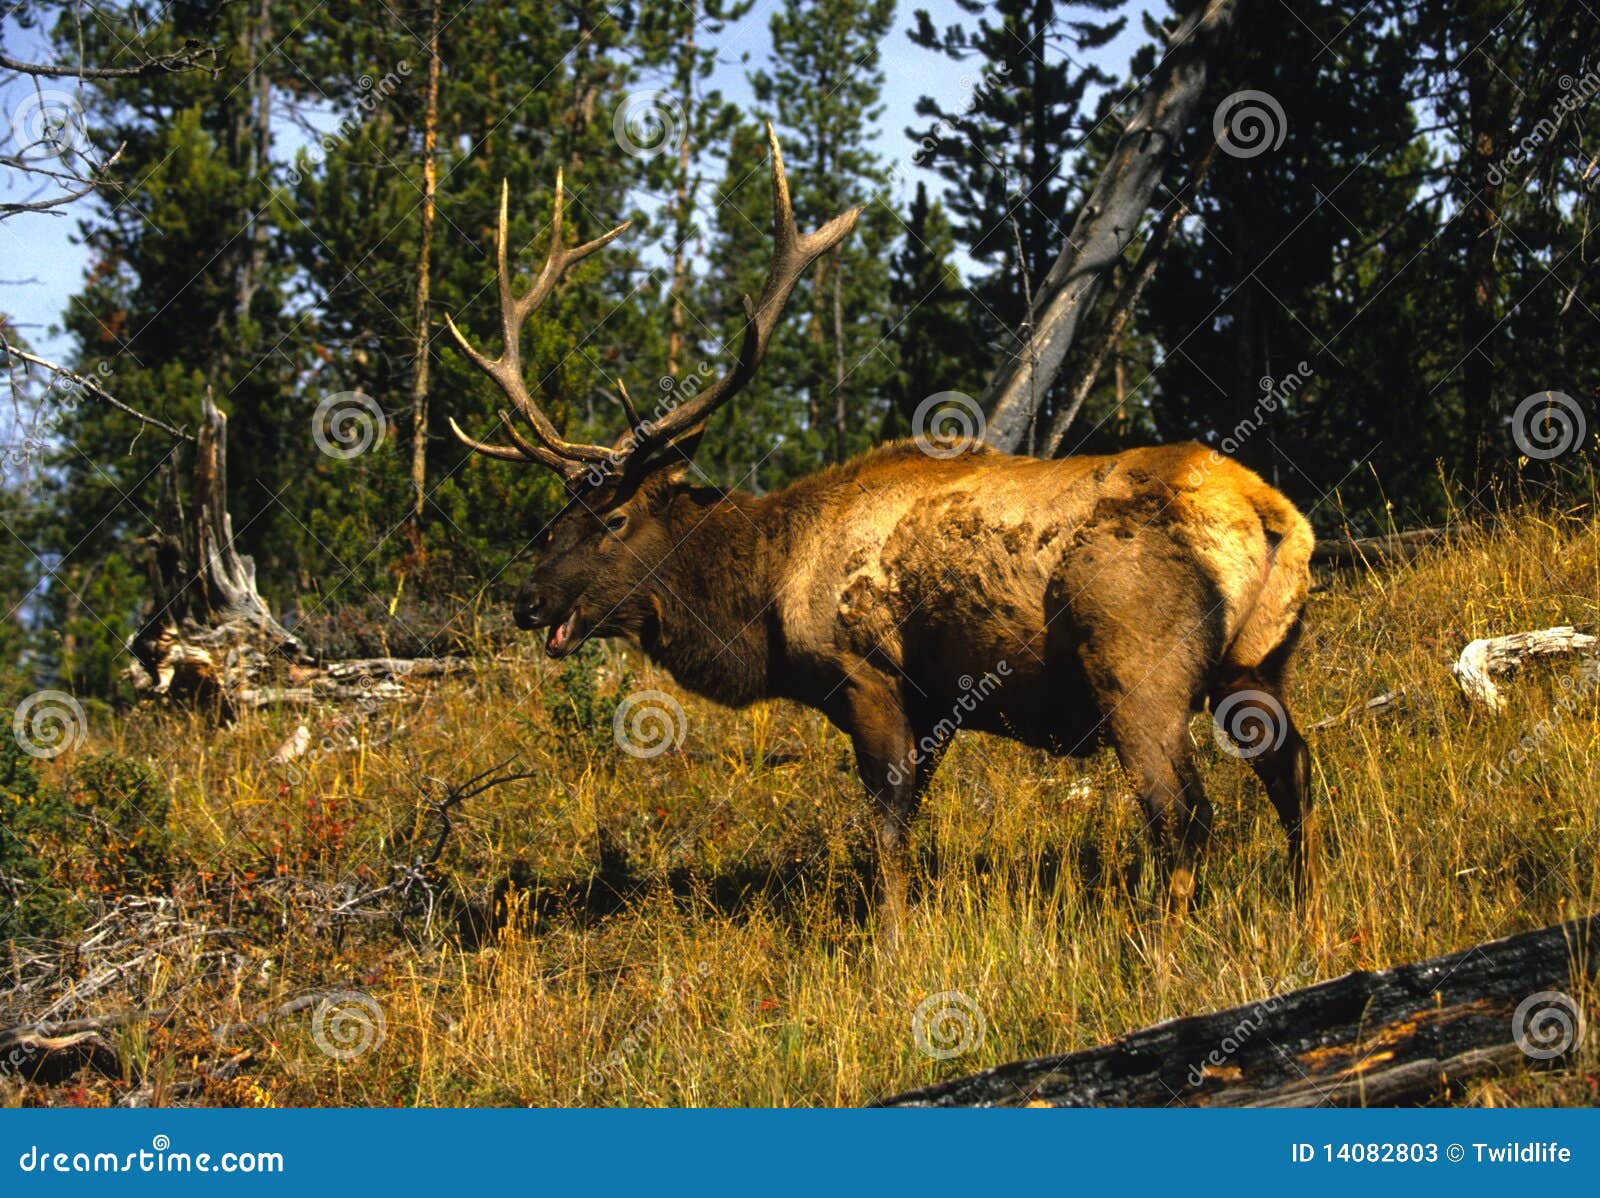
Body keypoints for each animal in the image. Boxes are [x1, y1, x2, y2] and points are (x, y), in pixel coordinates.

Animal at [444, 127, 1316, 925]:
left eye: (615, 515)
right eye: (559, 514)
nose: (527, 601)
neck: (765, 596)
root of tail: (1270, 515)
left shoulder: (868, 673)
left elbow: (887, 827)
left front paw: (889, 943)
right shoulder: (933, 705)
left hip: (1139, 668)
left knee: (1182, 813)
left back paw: (1163, 949)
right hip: (1257, 663)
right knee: (1294, 773)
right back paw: (1303, 909)